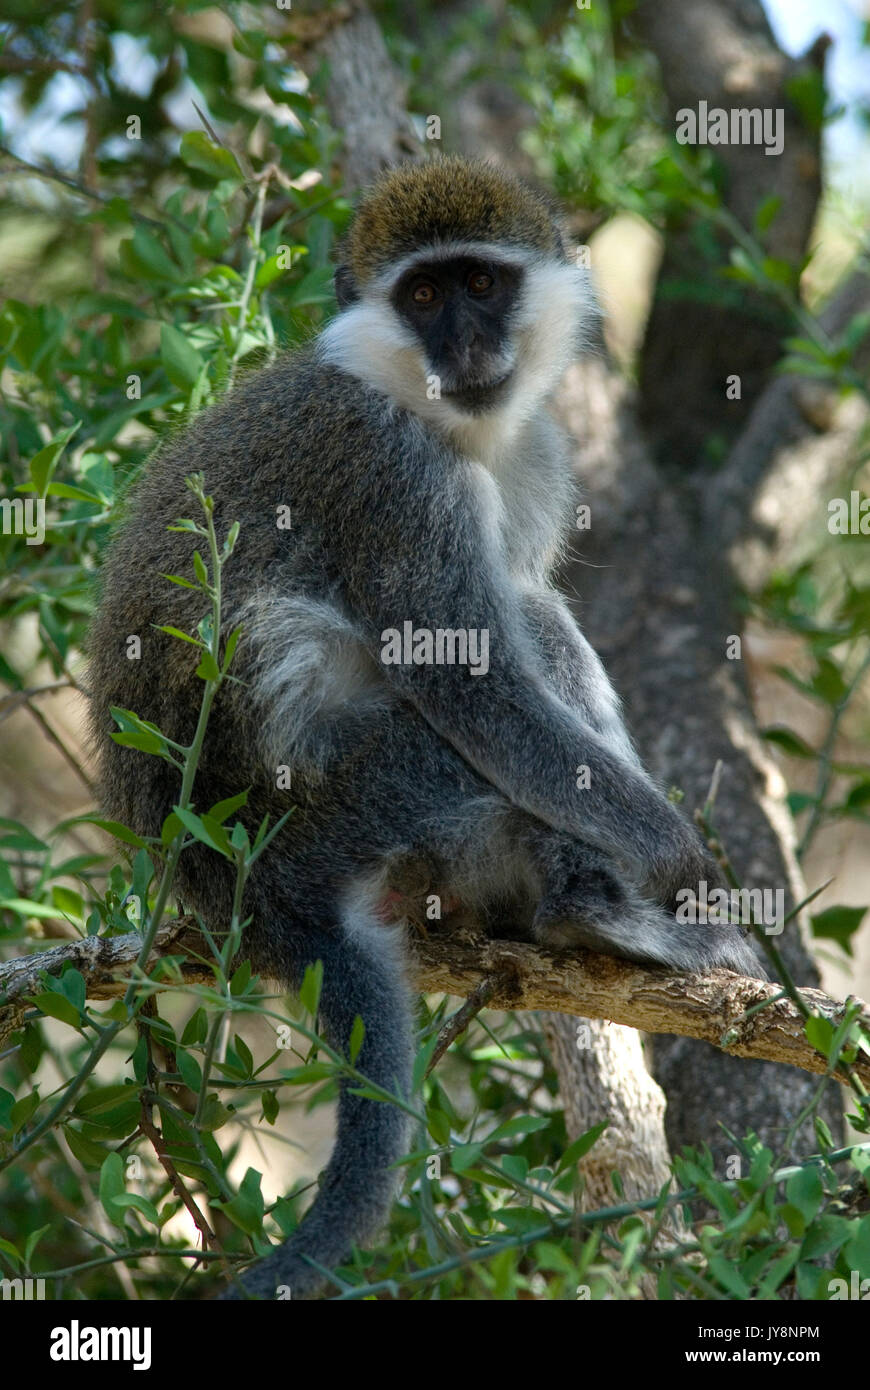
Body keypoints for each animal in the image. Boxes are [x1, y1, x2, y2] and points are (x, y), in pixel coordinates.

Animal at [86, 155, 760, 1301]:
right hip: (346, 794)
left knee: (537, 614)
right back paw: (589, 906)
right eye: (424, 296)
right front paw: (673, 858)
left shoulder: (535, 452)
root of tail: (248, 889)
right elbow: (468, 678)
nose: (467, 348)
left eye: (481, 284)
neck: (434, 414)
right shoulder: (395, 474)